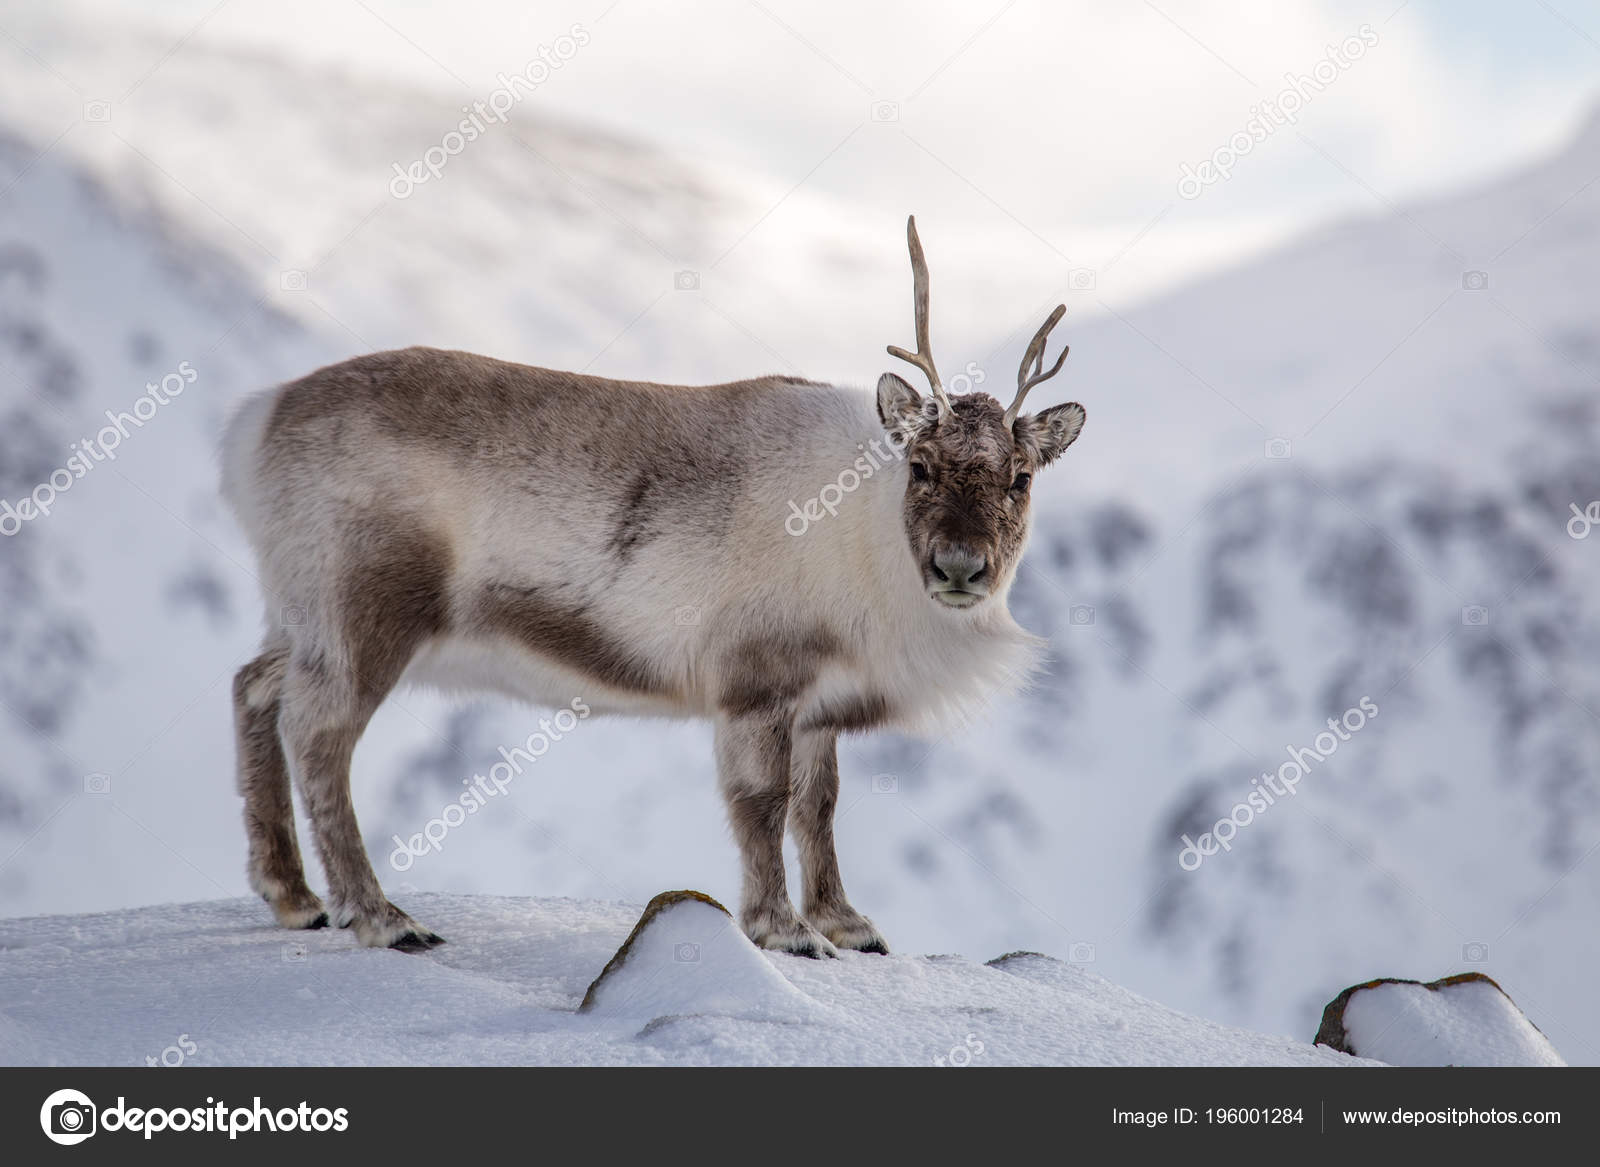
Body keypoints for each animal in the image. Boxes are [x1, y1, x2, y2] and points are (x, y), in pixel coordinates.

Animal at [220, 216, 1085, 957]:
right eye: (923, 465)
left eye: (1019, 477)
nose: (959, 567)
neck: (869, 539)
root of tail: (255, 421)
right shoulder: (755, 685)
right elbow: (763, 804)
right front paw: (782, 928)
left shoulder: (819, 704)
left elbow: (821, 806)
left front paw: (846, 922)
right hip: (360, 617)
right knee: (318, 736)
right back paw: (380, 916)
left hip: (297, 617)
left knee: (253, 684)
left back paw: (293, 896)